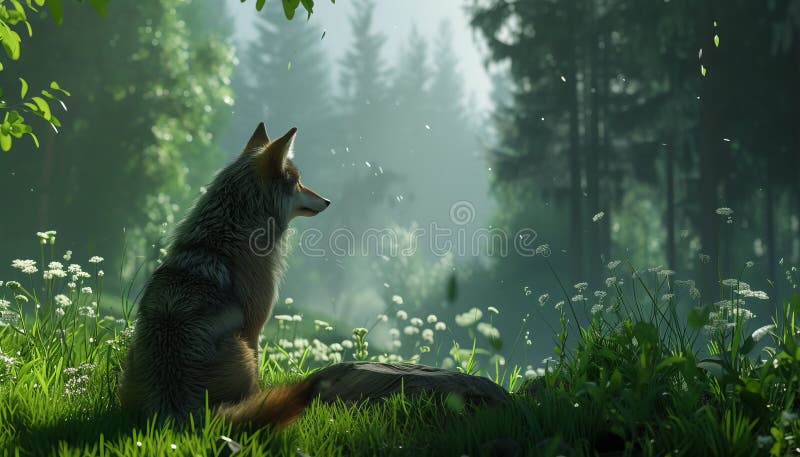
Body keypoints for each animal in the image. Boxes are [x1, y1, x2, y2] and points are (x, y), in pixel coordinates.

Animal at [119, 122, 330, 428]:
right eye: (299, 182)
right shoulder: (255, 329)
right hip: (242, 351)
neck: (226, 232)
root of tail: (174, 409)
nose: (327, 201)